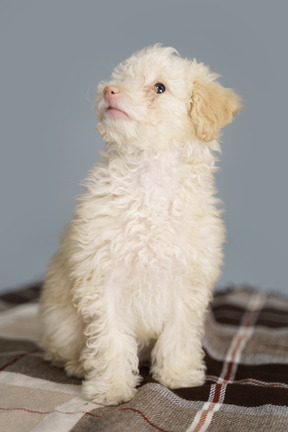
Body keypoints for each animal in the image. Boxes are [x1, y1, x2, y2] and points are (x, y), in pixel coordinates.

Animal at [38, 45, 241, 406]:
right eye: (120, 77)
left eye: (159, 88)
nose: (109, 90)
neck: (149, 179)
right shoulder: (103, 279)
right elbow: (110, 339)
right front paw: (110, 387)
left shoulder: (186, 280)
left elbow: (178, 333)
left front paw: (178, 375)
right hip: (59, 323)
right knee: (58, 349)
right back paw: (77, 364)